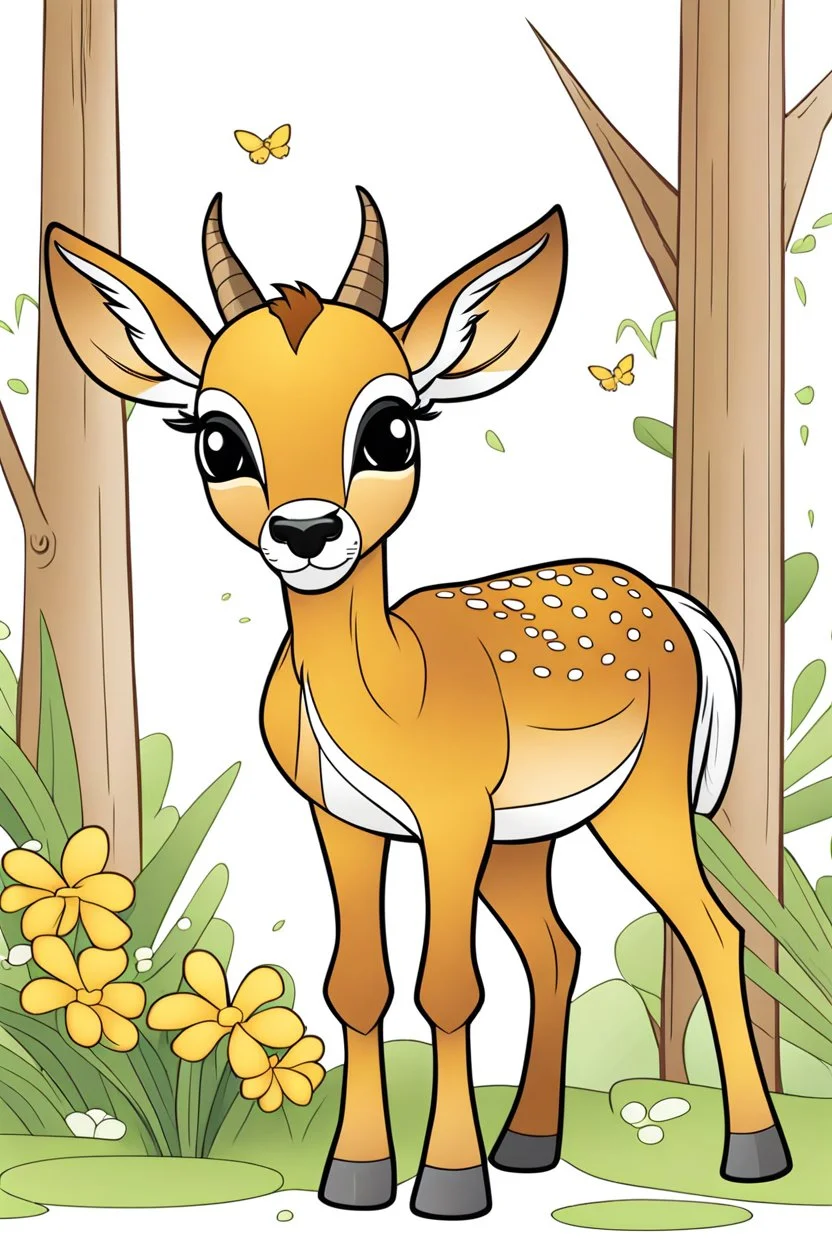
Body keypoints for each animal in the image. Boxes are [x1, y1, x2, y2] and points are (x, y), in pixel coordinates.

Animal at [45, 187, 790, 1219]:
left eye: (392, 425)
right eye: (217, 439)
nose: (307, 531)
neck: (395, 692)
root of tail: (672, 604)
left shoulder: (449, 816)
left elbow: (448, 987)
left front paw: (447, 1186)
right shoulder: (346, 818)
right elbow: (358, 984)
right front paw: (355, 1179)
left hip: (641, 797)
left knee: (714, 930)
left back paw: (753, 1156)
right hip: (528, 835)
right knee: (557, 947)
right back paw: (529, 1145)